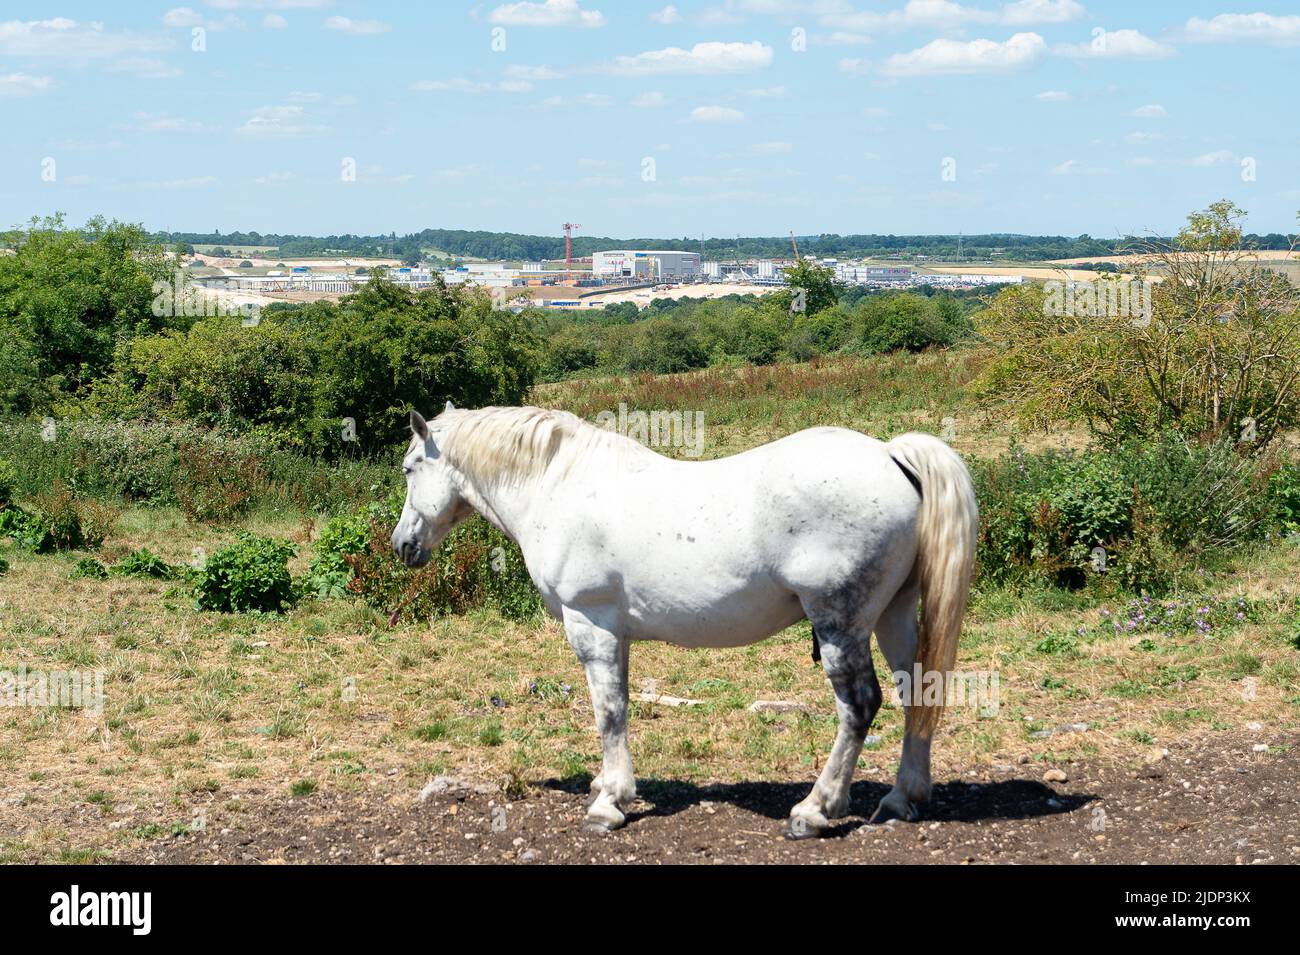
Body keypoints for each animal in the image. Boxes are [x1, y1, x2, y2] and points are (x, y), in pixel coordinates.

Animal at [392, 403, 978, 838]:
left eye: (408, 468)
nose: (402, 545)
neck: (558, 486)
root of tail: (889, 454)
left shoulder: (591, 624)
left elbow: (608, 711)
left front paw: (609, 803)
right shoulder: (617, 633)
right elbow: (619, 706)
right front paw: (608, 785)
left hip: (840, 623)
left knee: (859, 706)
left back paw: (814, 811)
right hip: (894, 613)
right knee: (917, 690)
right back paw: (901, 799)